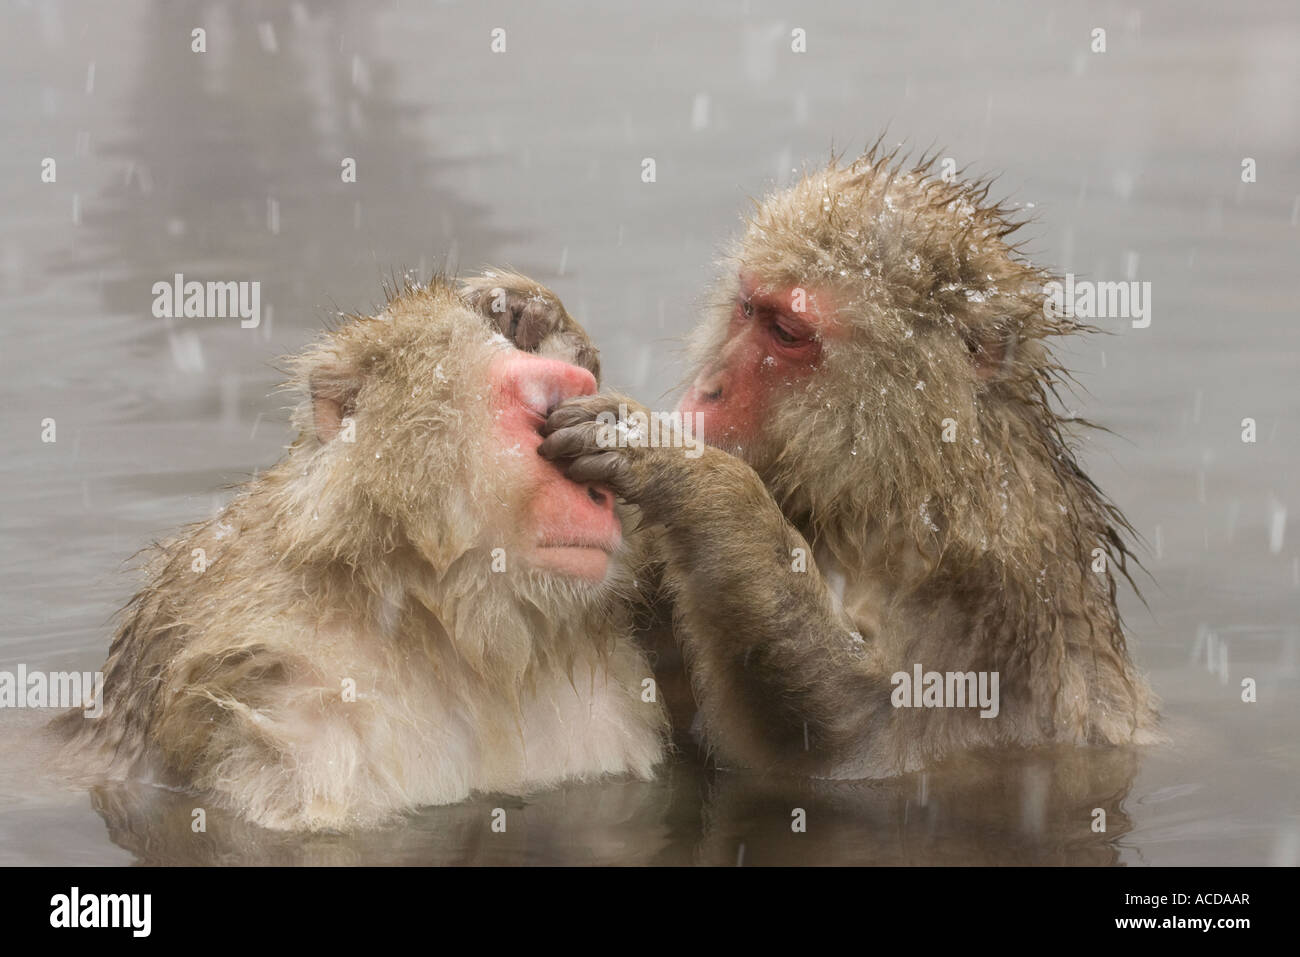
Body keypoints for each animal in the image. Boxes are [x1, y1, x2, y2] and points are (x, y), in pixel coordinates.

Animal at [535, 142, 1161, 779]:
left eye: (787, 332)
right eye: (745, 308)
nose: (708, 389)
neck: (903, 486)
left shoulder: (994, 592)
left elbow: (866, 738)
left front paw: (694, 479)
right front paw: (534, 316)